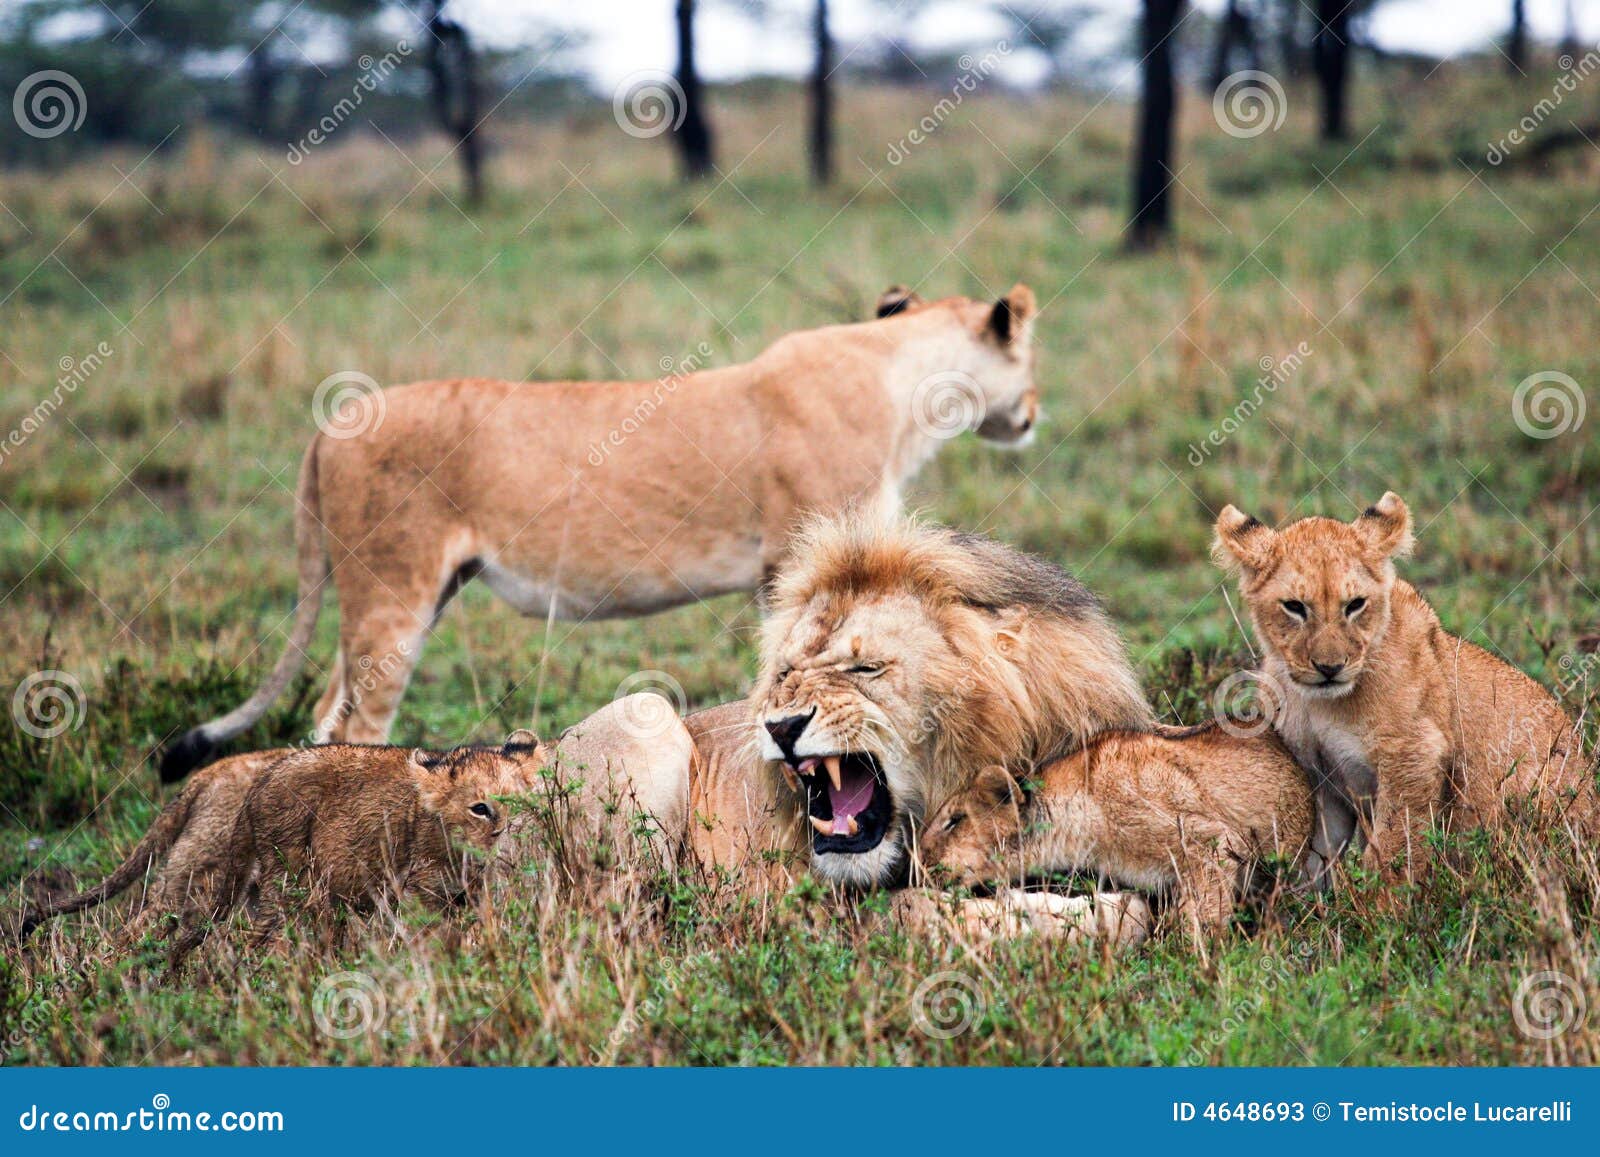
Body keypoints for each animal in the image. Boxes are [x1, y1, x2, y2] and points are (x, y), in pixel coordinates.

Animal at [160, 285, 1044, 780]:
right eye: (1028, 361)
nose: (1034, 410)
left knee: (323, 713)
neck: (907, 378)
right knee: (356, 724)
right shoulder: (803, 558)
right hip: (392, 591)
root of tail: (329, 423)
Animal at [1212, 492, 1595, 883]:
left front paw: (1382, 899)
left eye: (1355, 605)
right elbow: (1315, 859)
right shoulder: (1320, 779)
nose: (1330, 668)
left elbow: (1391, 854)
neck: (1321, 703)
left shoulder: (1415, 756)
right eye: (1294, 607)